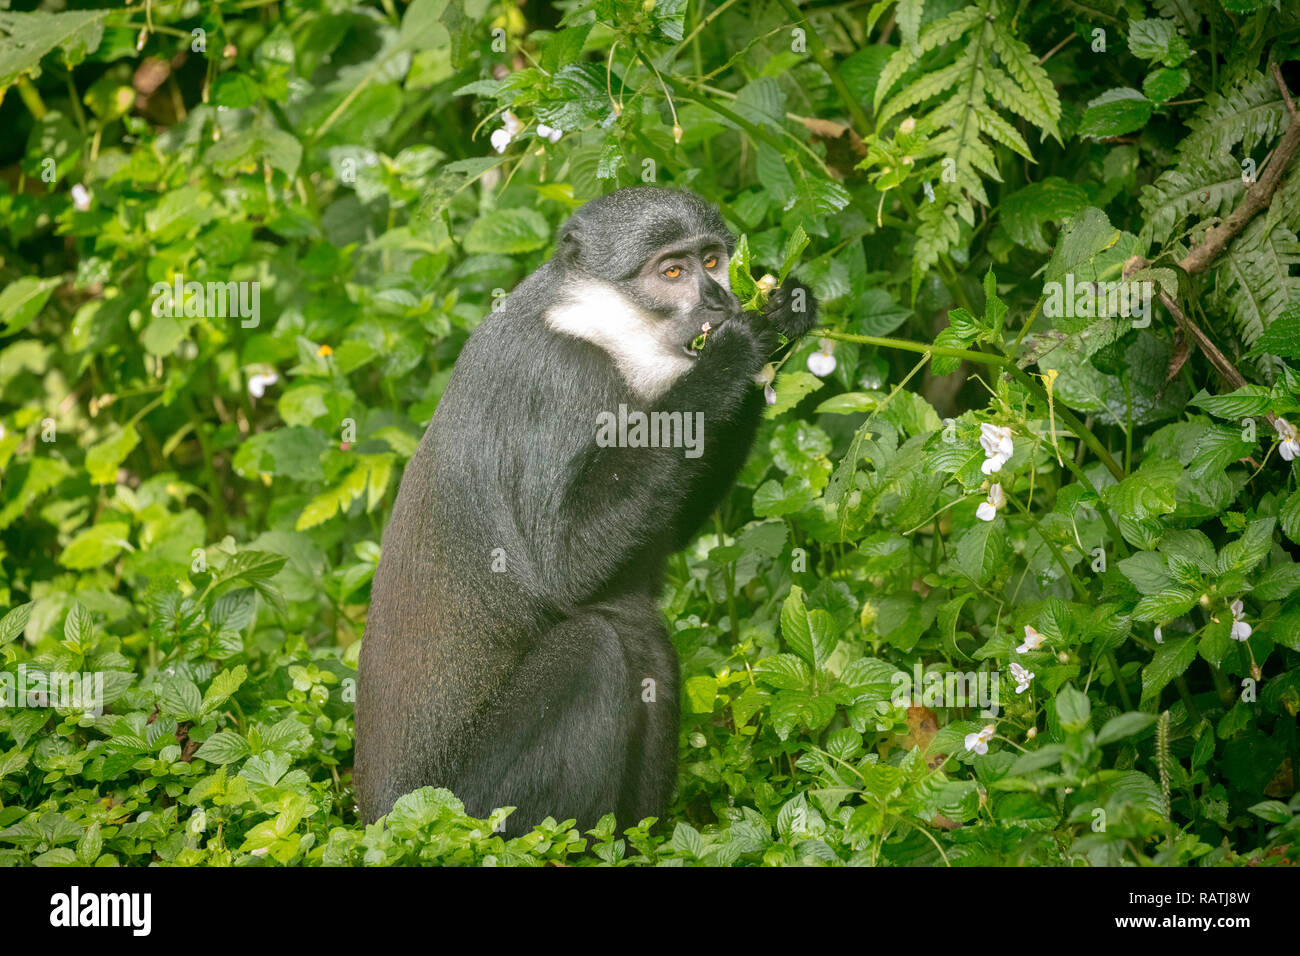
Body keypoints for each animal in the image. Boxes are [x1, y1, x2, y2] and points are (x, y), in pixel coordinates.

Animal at [355, 186, 817, 836]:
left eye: (711, 260)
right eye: (672, 272)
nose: (720, 299)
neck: (595, 322)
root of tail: (379, 818)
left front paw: (787, 312)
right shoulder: (566, 384)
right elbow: (564, 568)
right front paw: (734, 355)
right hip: (463, 809)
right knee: (597, 647)